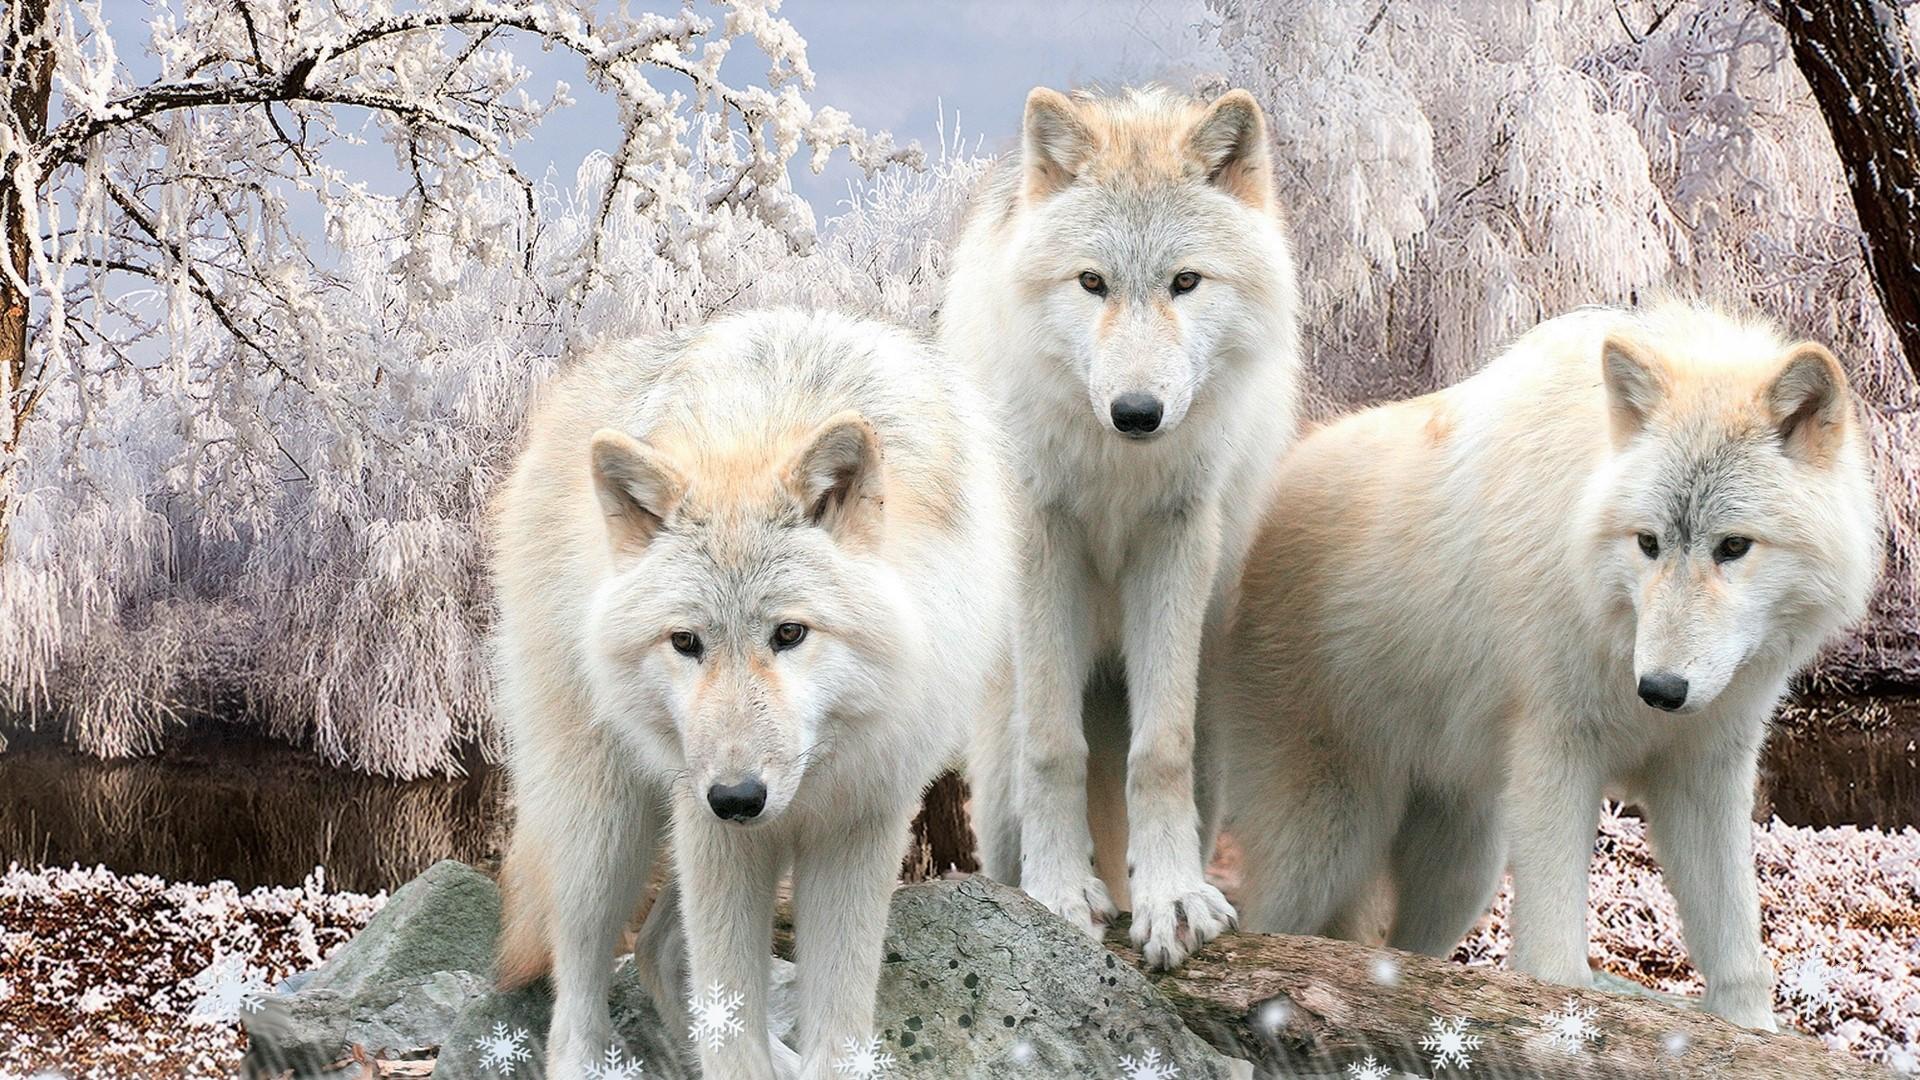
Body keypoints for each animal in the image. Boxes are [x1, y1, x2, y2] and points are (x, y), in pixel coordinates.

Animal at [488, 309, 1016, 1078]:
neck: (764, 424)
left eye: (789, 633)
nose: (737, 798)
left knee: (654, 952)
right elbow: (728, 1032)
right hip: (609, 831)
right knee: (579, 986)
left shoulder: (861, 825)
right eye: (686, 642)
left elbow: (839, 1028)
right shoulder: (713, 831)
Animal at [942, 85, 1301, 969]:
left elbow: (1157, 753)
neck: (1116, 464)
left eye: (1186, 281)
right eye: (1092, 282)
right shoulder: (1044, 538)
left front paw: (1170, 900)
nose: (1137, 412)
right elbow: (1053, 747)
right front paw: (1059, 894)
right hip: (994, 764)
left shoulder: (1177, 537)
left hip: (1212, 730)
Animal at [1211, 302, 1881, 1028]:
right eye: (1648, 544)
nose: (1660, 690)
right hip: (1328, 844)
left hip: (1464, 867)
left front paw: (1750, 1032)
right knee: (1266, 926)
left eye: (1734, 547)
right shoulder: (1558, 749)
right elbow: (1554, 951)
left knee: (1402, 949)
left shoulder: (1704, 767)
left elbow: (1735, 943)